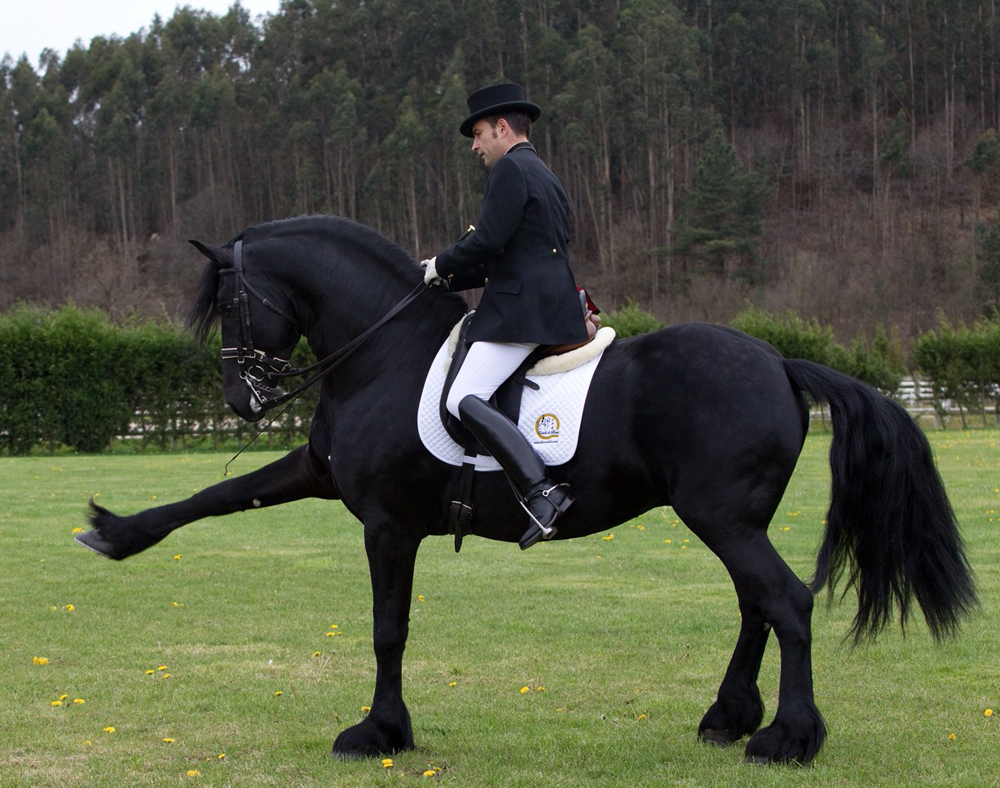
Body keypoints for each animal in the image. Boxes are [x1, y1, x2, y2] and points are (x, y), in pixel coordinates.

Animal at [76, 214, 977, 765]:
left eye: (231, 302)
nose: (242, 400)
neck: (380, 349)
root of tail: (781, 362)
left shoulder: (386, 524)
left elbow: (388, 630)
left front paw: (379, 731)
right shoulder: (319, 476)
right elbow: (211, 499)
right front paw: (113, 532)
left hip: (720, 518)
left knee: (785, 601)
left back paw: (786, 738)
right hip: (731, 520)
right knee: (759, 604)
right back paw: (728, 718)